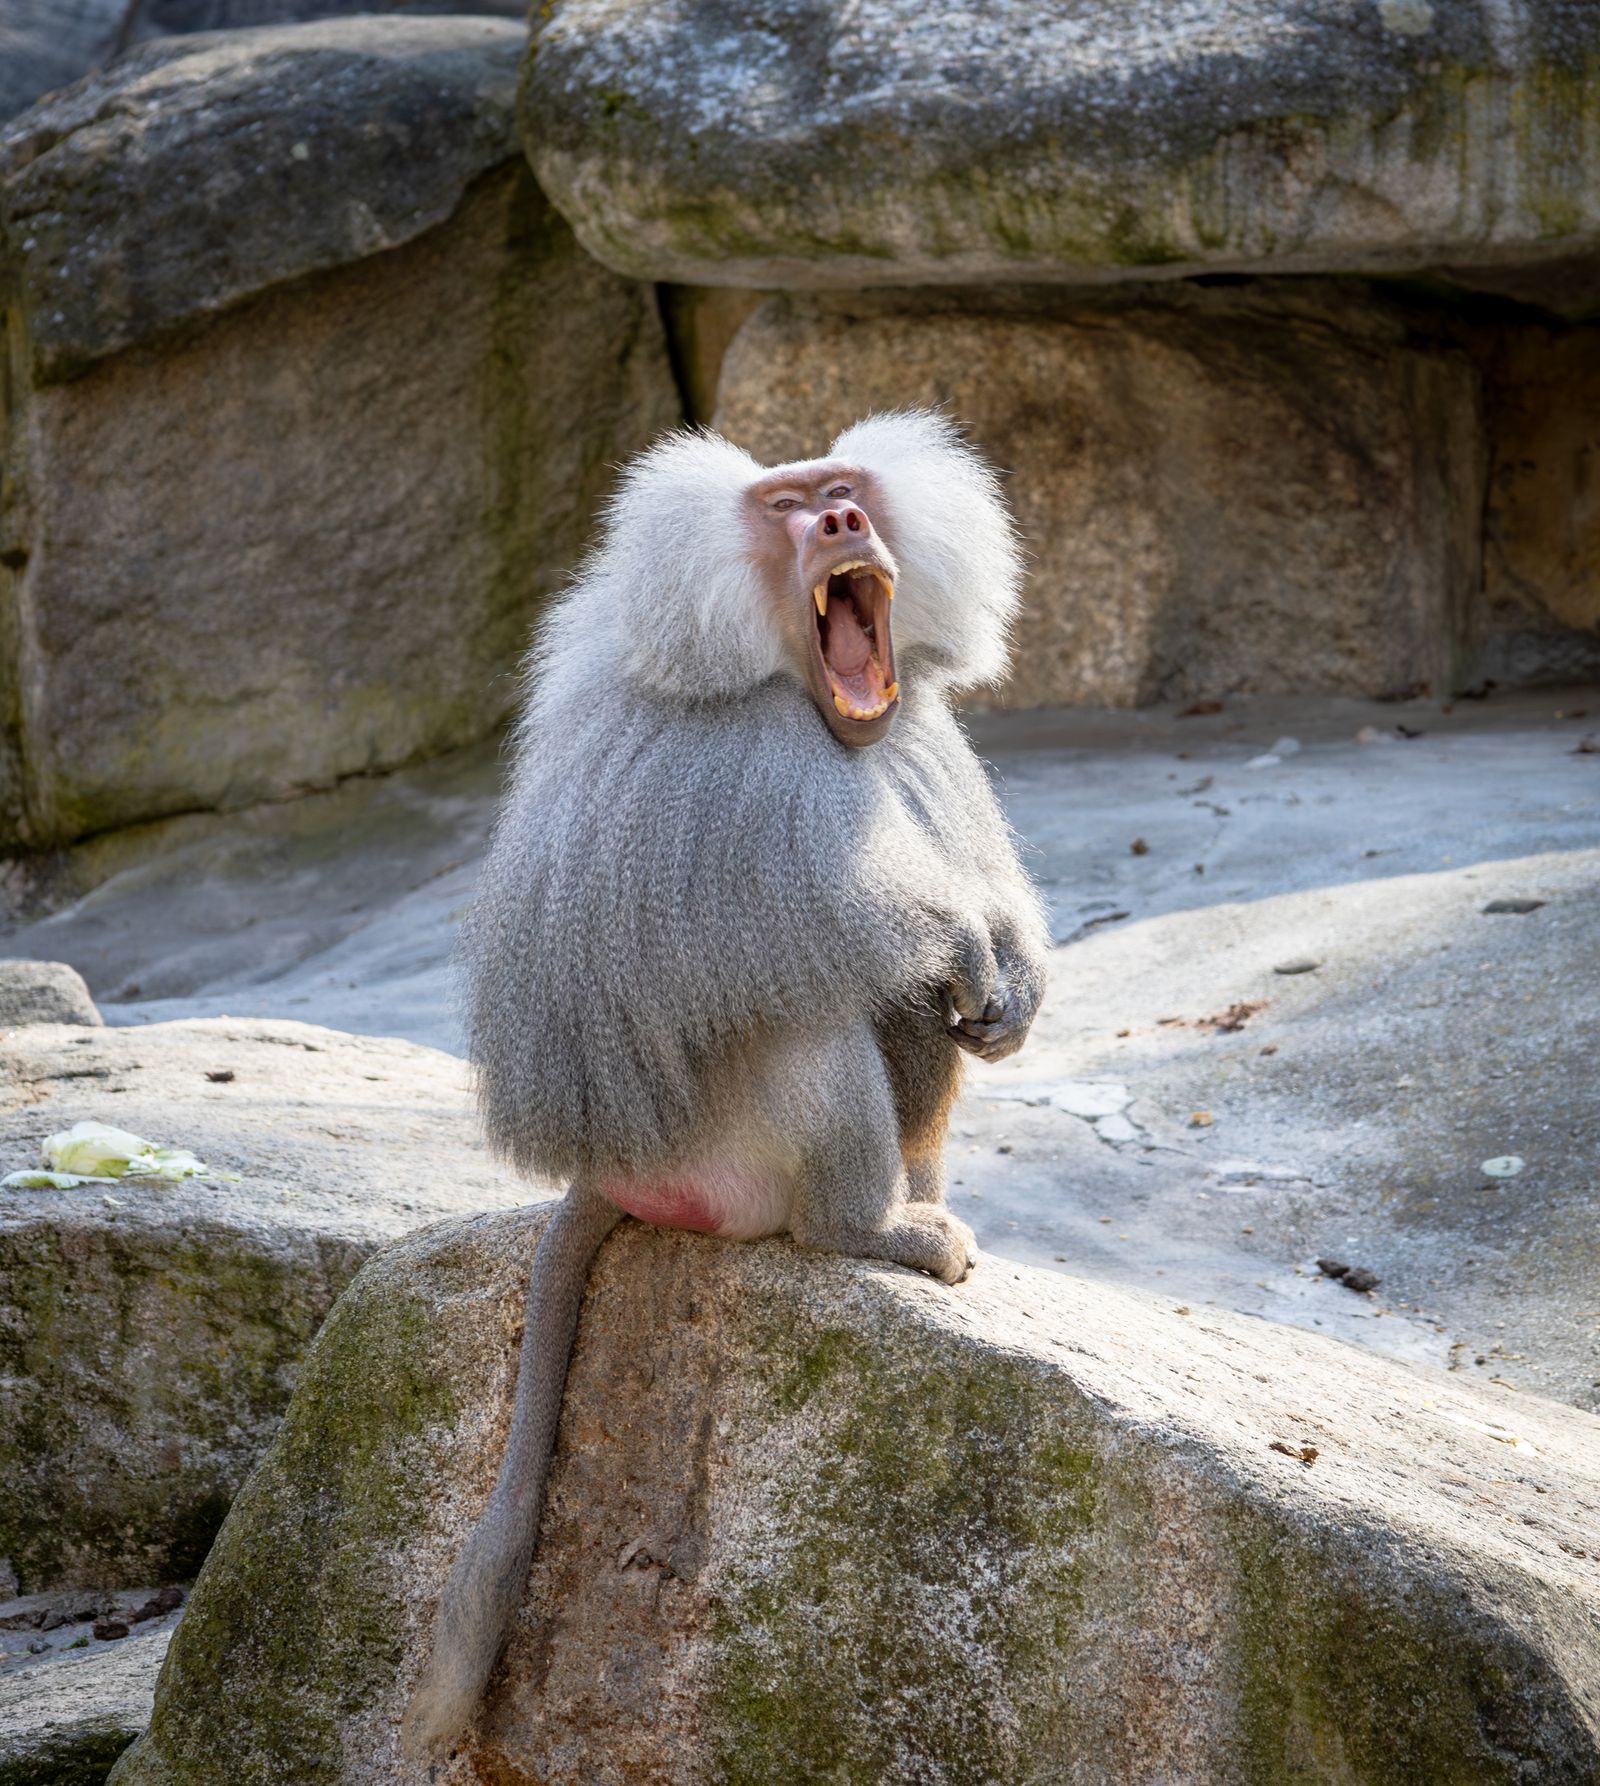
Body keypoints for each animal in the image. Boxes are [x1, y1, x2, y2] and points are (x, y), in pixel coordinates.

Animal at [400, 410, 1049, 1760]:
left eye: (845, 489)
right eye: (789, 505)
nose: (843, 521)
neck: (796, 696)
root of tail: (615, 1172)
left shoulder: (916, 735)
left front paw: (1011, 978)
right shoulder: (730, 778)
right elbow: (821, 927)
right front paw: (967, 946)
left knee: (909, 1018)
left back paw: (922, 1199)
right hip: (712, 1151)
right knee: (810, 1014)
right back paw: (875, 1231)